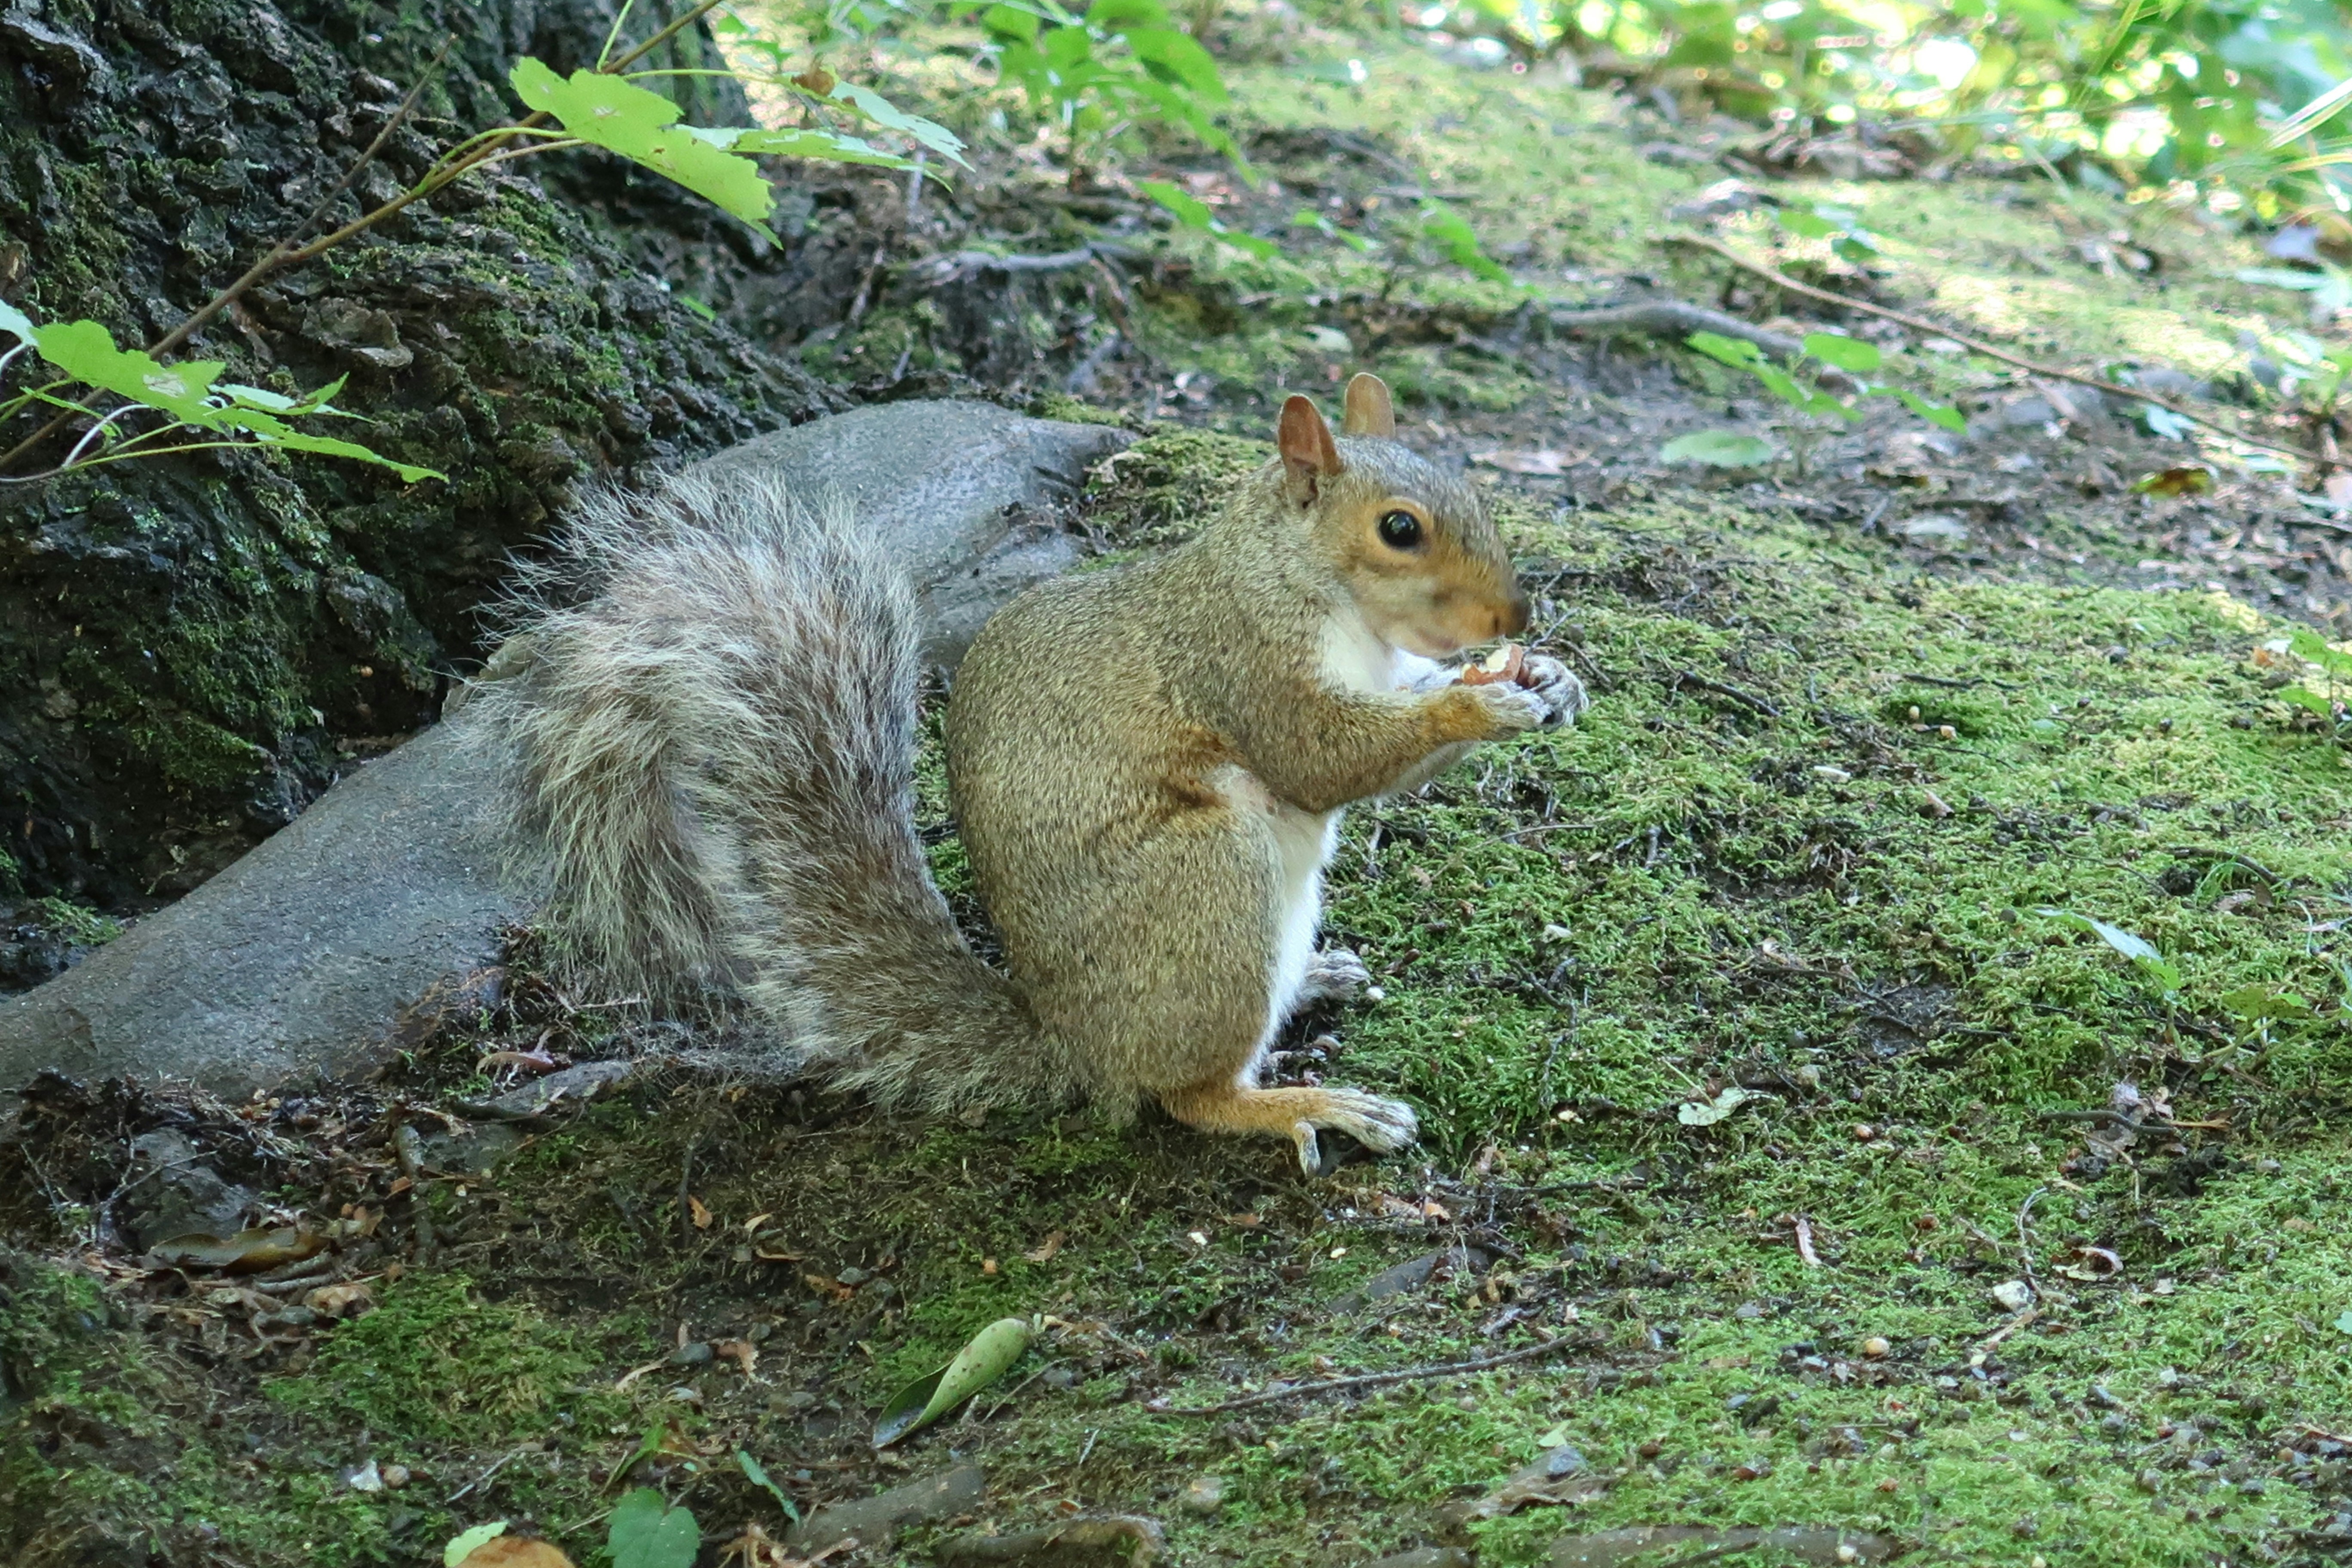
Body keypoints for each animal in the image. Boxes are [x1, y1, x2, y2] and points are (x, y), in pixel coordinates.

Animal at [495, 373, 1586, 1172]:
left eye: (1475, 493)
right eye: (1399, 529)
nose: (1514, 617)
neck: (1310, 587)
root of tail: (1073, 1040)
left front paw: (1547, 680)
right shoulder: (1238, 663)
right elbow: (1321, 757)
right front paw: (1478, 704)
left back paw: (1313, 976)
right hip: (1206, 877)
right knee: (1186, 1095)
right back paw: (1297, 1104)